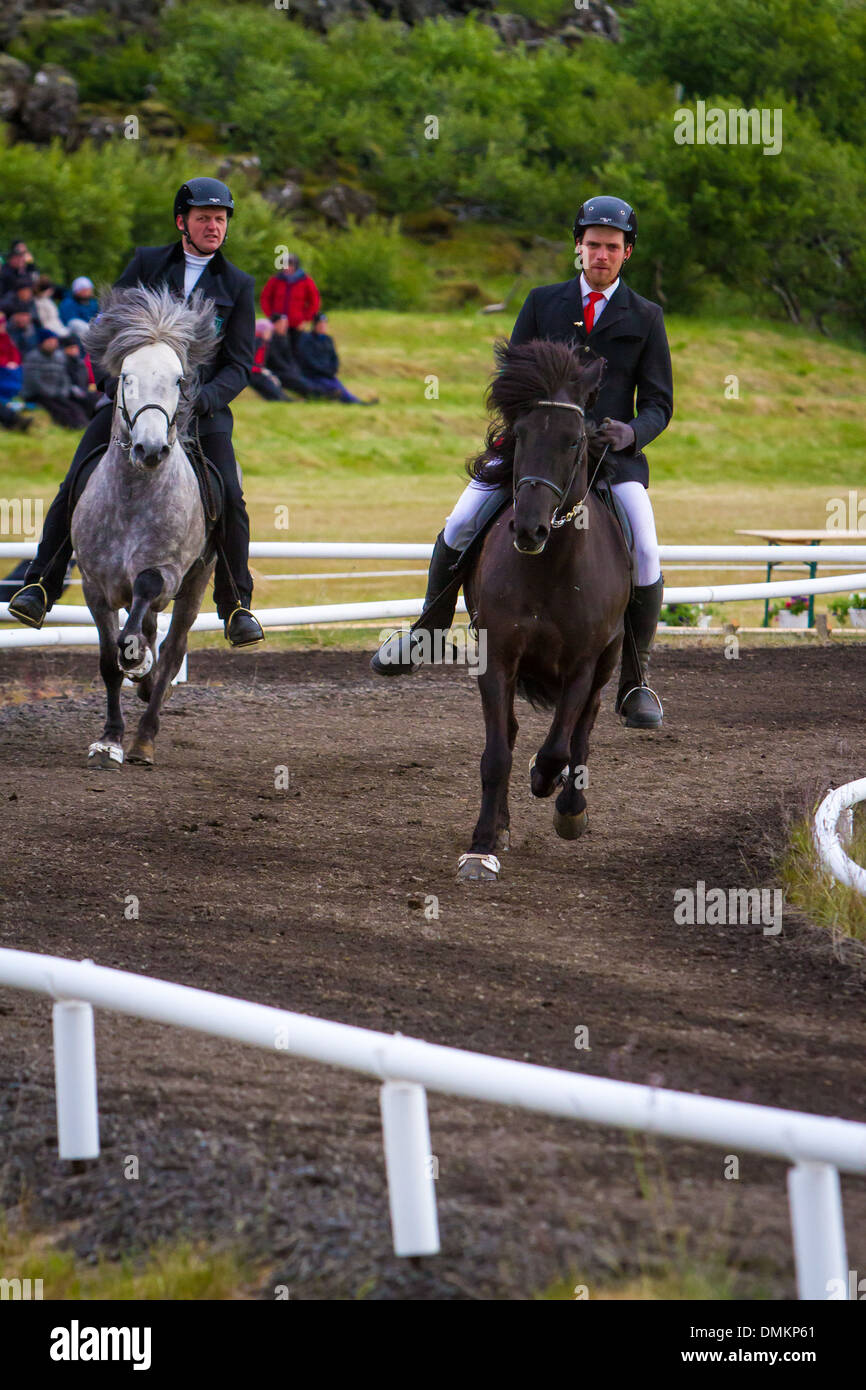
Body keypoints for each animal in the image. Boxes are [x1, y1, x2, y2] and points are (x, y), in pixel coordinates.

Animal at [72, 285, 220, 769]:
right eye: (125, 378)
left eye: (178, 380)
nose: (150, 449)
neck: (134, 496)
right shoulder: (94, 586)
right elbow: (106, 661)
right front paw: (108, 740)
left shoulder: (167, 572)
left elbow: (144, 603)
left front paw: (137, 663)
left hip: (198, 581)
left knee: (173, 649)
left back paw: (144, 739)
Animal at [456, 338, 633, 882]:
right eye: (519, 434)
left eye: (575, 441)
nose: (529, 529)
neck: (548, 568)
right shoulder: (497, 657)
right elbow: (496, 754)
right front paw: (482, 845)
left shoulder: (583, 665)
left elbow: (559, 745)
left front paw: (547, 782)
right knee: (512, 734)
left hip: (608, 664)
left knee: (582, 730)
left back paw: (570, 807)